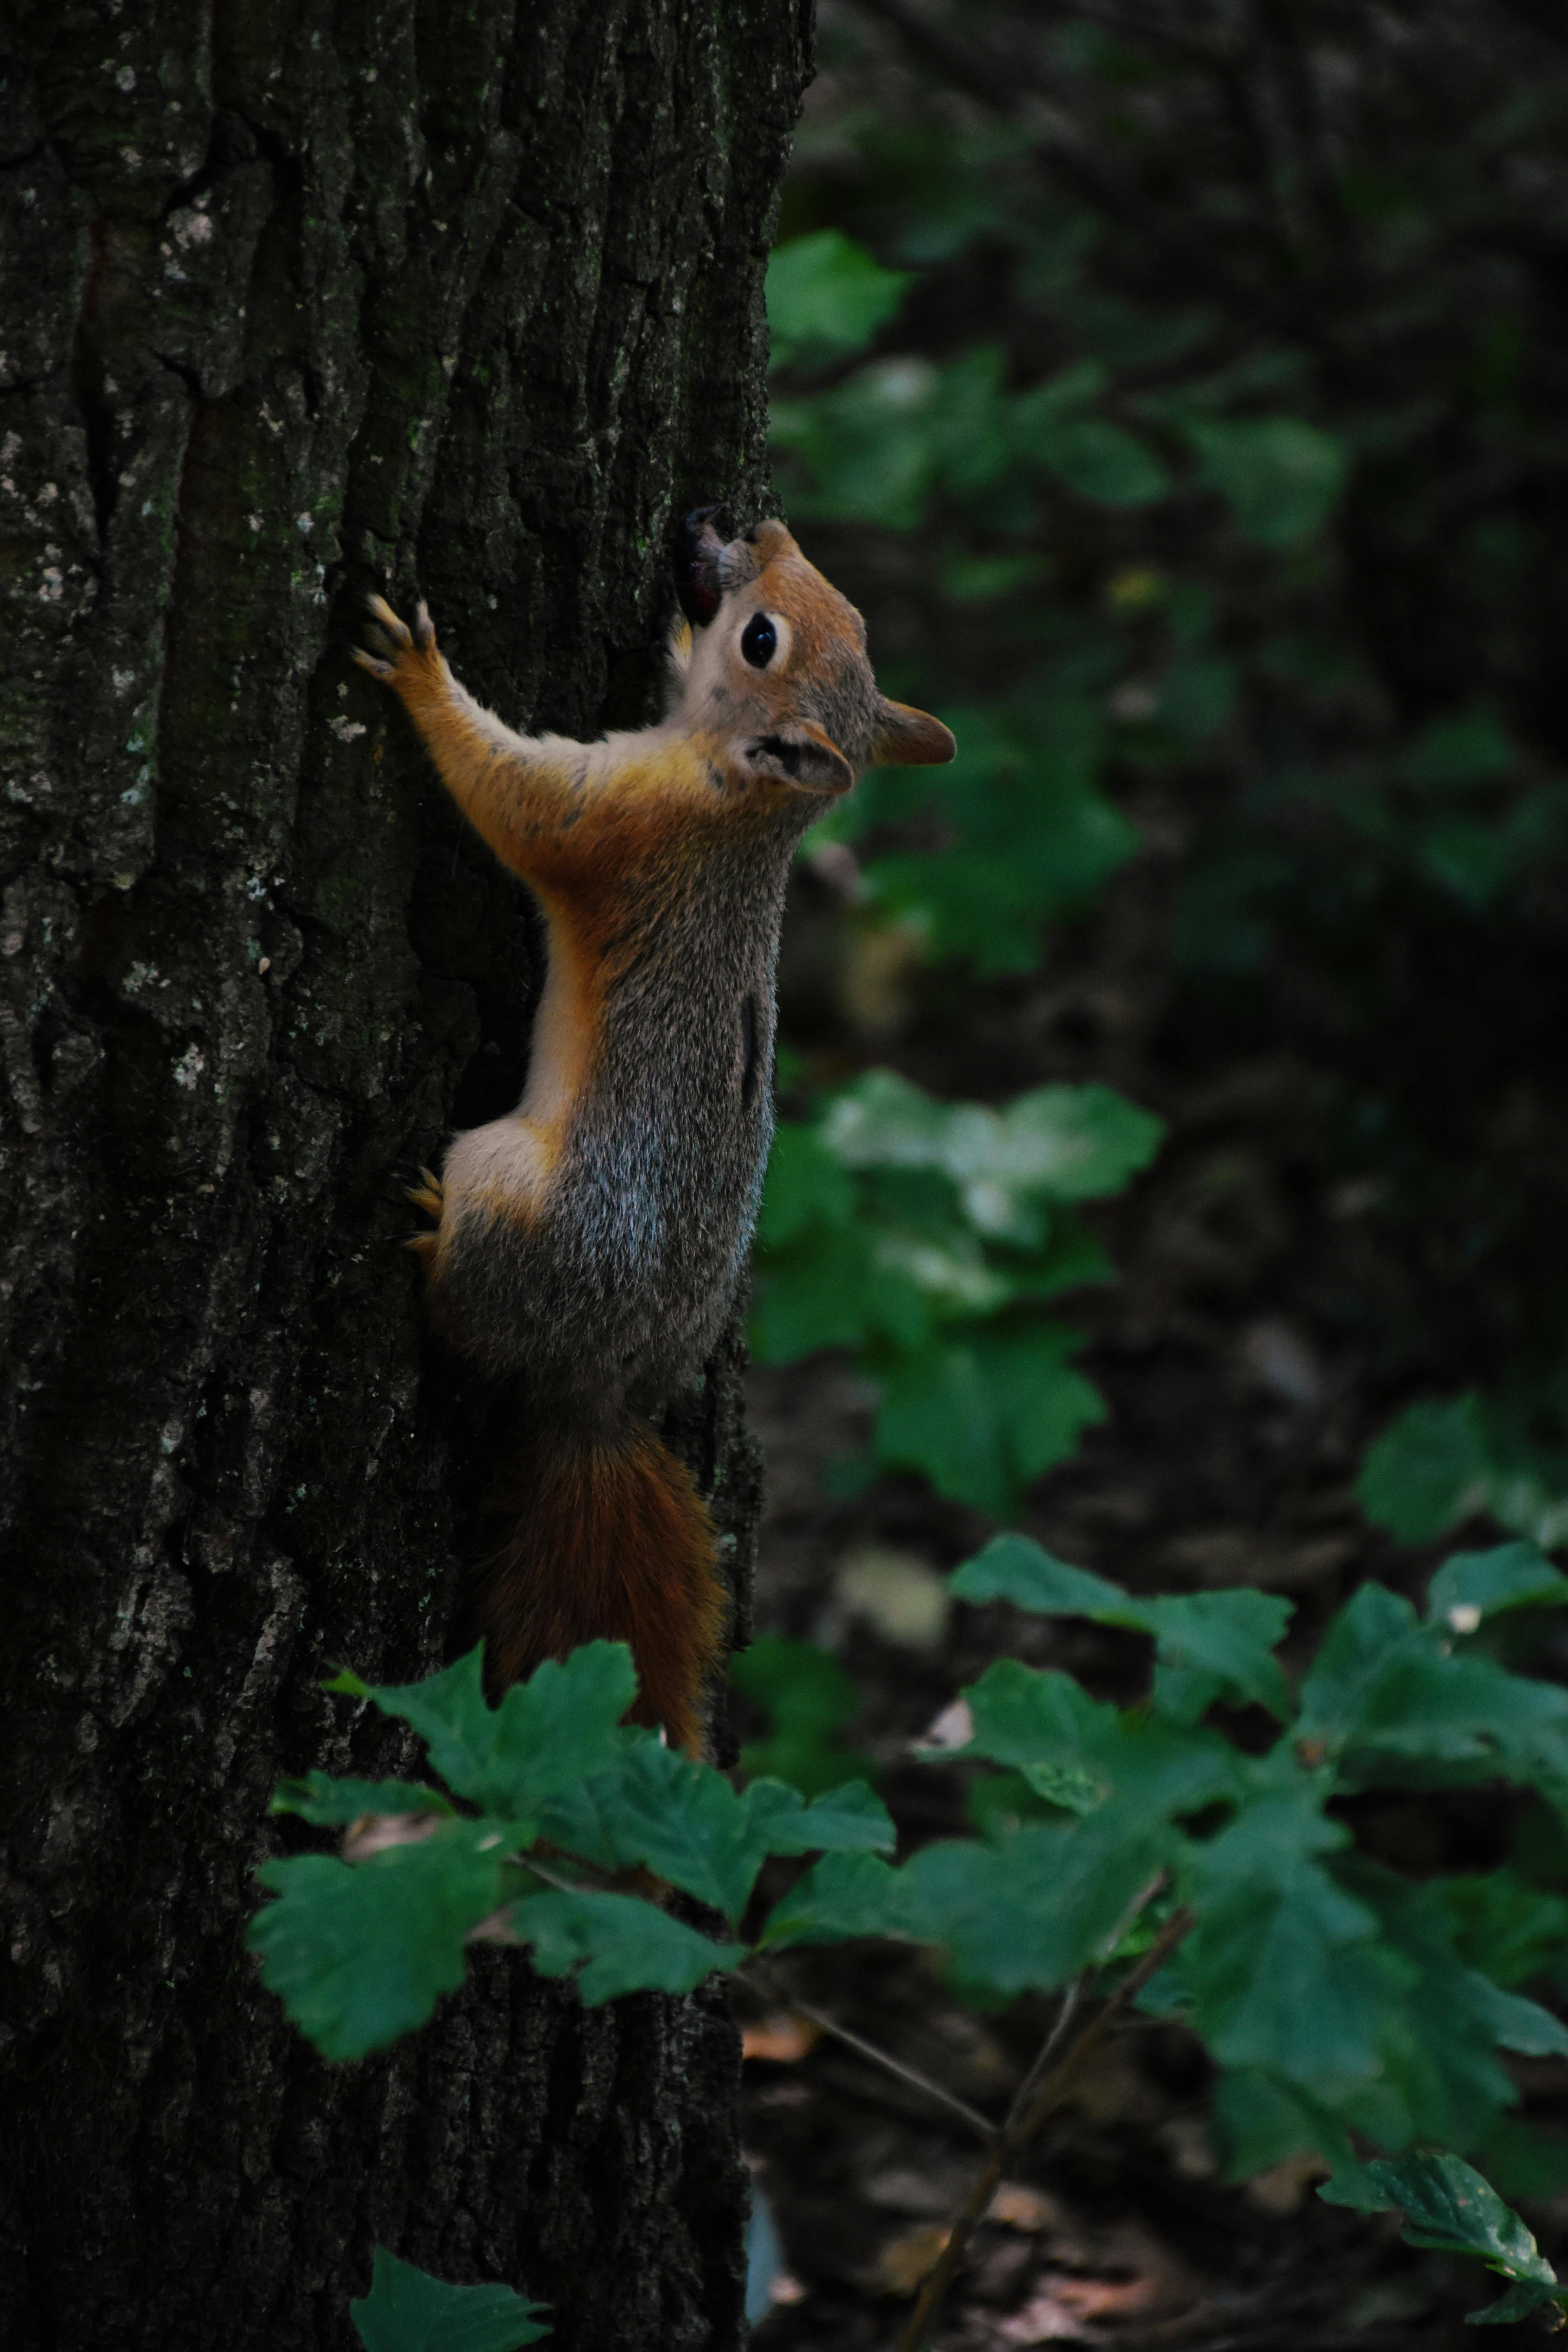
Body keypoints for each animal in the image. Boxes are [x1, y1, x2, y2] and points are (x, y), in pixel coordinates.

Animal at [353, 513, 955, 1753]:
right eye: (843, 611)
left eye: (763, 641)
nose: (757, 526)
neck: (737, 797)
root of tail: (597, 1389)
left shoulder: (613, 823)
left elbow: (517, 803)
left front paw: (424, 679)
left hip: (509, 1186)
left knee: (463, 1300)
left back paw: (433, 1228)